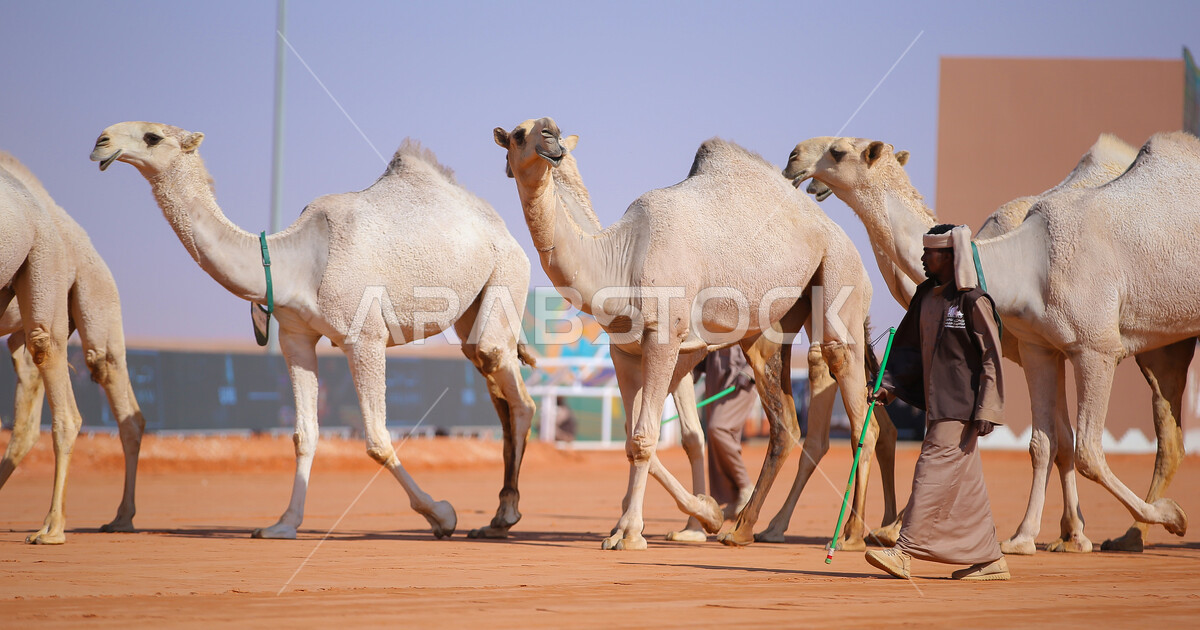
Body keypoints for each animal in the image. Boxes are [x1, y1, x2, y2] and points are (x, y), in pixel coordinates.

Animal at [93, 121, 537, 540]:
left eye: (152, 136)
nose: (101, 141)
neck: (295, 263)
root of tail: (499, 225)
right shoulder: (295, 338)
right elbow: (303, 435)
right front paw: (282, 524)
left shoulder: (365, 337)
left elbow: (377, 439)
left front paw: (442, 515)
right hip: (469, 310)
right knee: (491, 368)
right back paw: (502, 516)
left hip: (509, 272)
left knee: (505, 372)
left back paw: (504, 516)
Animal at [495, 117, 889, 550]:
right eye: (518, 134)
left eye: (553, 133)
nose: (550, 137)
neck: (620, 258)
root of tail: (847, 240)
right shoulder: (624, 351)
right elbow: (636, 438)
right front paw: (686, 518)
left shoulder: (665, 337)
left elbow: (644, 437)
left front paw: (632, 534)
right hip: (767, 331)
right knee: (787, 424)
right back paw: (745, 529)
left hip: (839, 272)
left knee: (857, 403)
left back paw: (850, 536)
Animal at [783, 132, 1194, 554]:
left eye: (837, 152)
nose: (793, 159)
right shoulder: (1041, 348)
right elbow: (1052, 441)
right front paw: (1057, 534)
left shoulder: (1086, 347)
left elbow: (1066, 443)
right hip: (1163, 345)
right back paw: (1131, 532)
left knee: (1162, 439)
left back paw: (1146, 529)